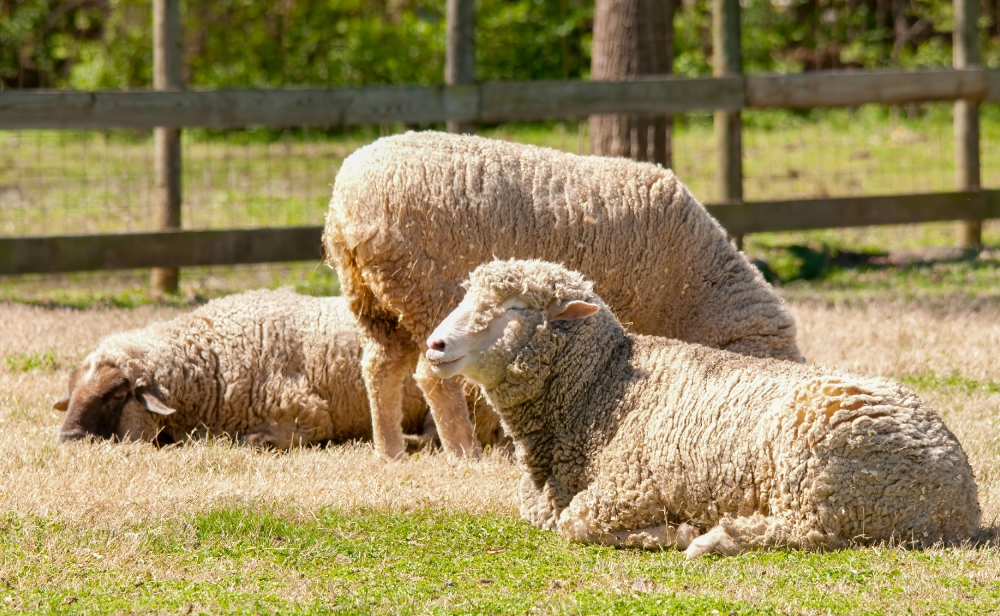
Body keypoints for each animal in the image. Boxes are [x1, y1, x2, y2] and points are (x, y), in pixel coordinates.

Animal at [323, 130, 801, 461]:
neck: (697, 288)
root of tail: (345, 200)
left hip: (374, 300)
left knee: (379, 369)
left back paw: (390, 453)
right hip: (428, 289)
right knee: (432, 377)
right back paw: (466, 454)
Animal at [424, 258, 981, 557]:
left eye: (515, 308)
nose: (435, 345)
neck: (601, 387)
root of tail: (959, 503)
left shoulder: (633, 485)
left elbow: (575, 523)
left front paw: (670, 533)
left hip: (821, 481)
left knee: (807, 533)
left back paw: (713, 538)